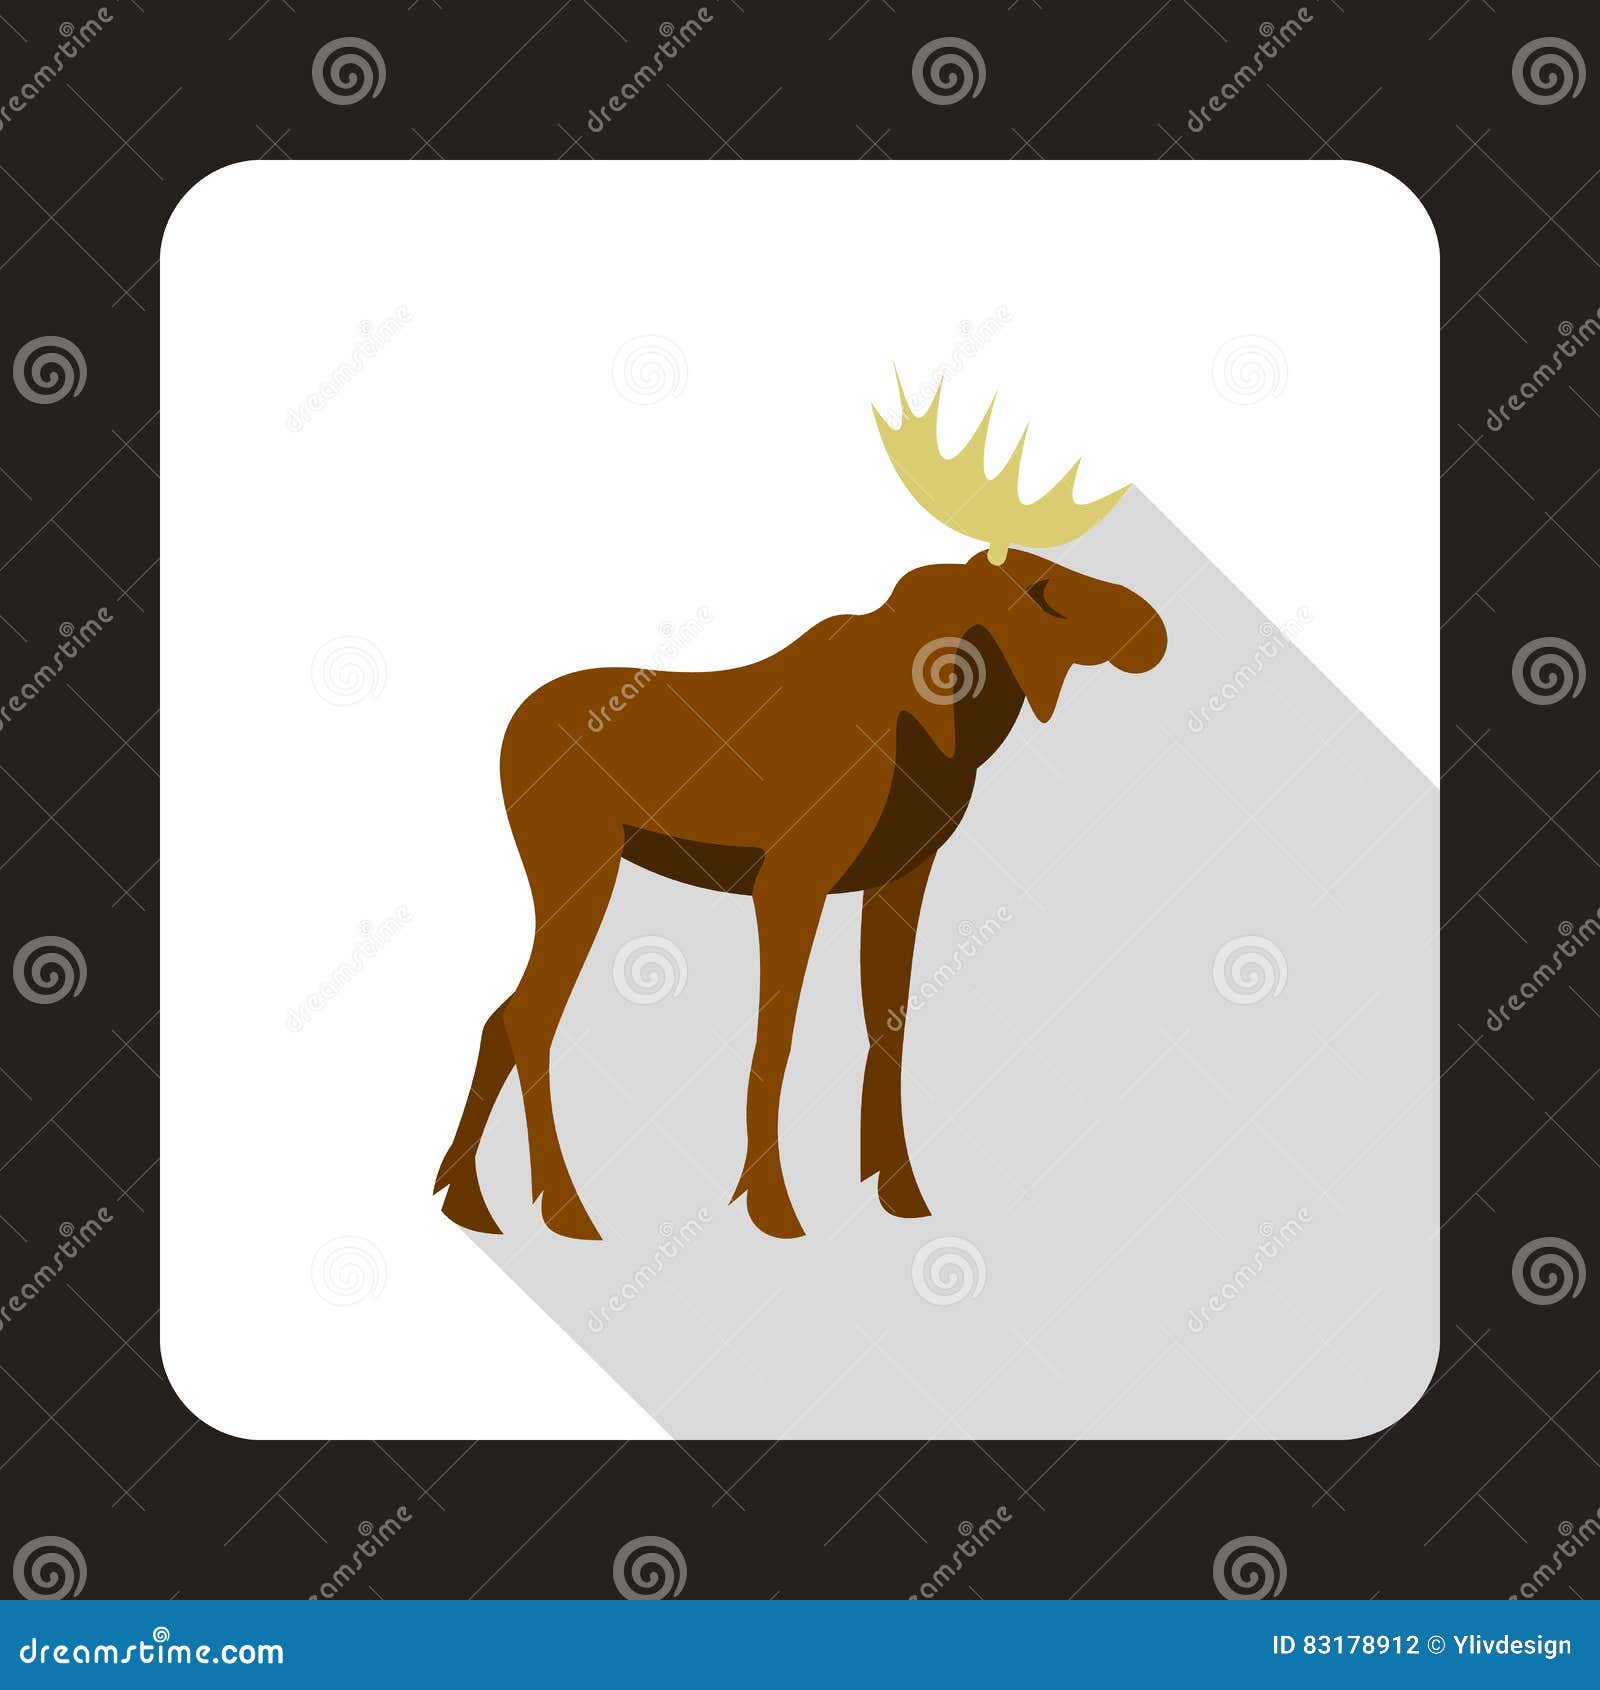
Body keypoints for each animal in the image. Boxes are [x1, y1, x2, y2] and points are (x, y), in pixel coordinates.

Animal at [434, 376, 1167, 1239]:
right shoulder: (791, 877)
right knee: (529, 1017)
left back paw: (467, 1198)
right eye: (1042, 591)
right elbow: (774, 1040)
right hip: (577, 863)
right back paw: (565, 1209)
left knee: (501, 1015)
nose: (1153, 629)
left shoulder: (902, 873)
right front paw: (772, 1207)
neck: (947, 734)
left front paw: (900, 1194)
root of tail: (506, 736)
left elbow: (888, 1026)